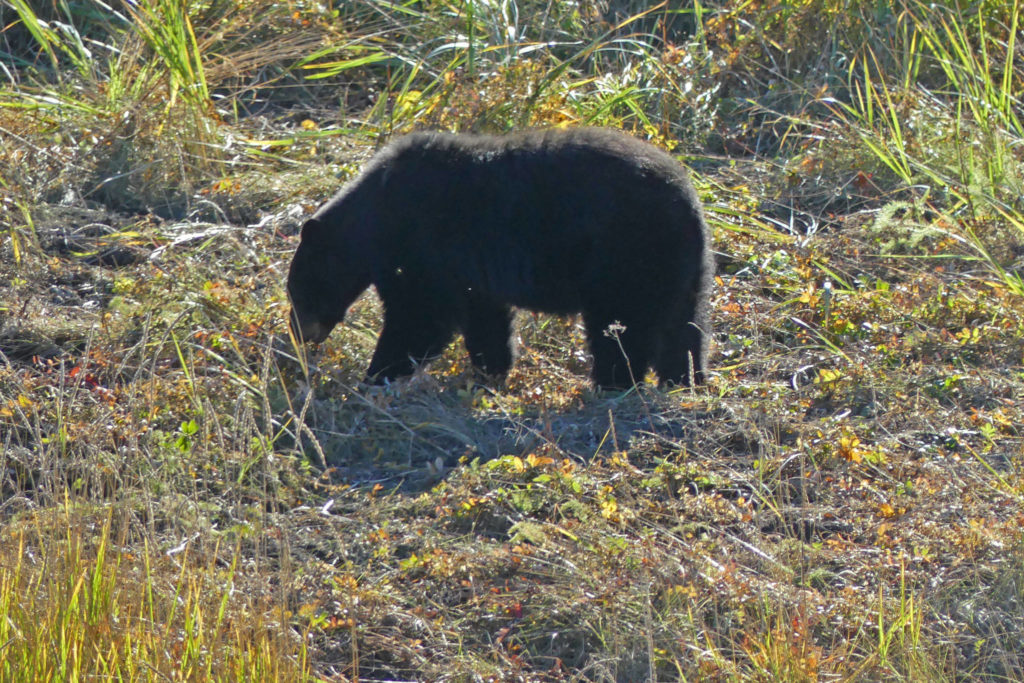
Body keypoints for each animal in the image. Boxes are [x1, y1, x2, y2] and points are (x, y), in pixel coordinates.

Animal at [286, 127, 712, 390]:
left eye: (297, 292)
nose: (298, 336)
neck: (377, 214)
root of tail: (689, 201)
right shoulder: (468, 272)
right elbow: (484, 318)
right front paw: (489, 374)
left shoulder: (424, 246)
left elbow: (420, 318)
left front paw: (374, 376)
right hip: (682, 268)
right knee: (685, 327)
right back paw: (684, 380)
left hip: (624, 258)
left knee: (621, 327)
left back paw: (613, 383)